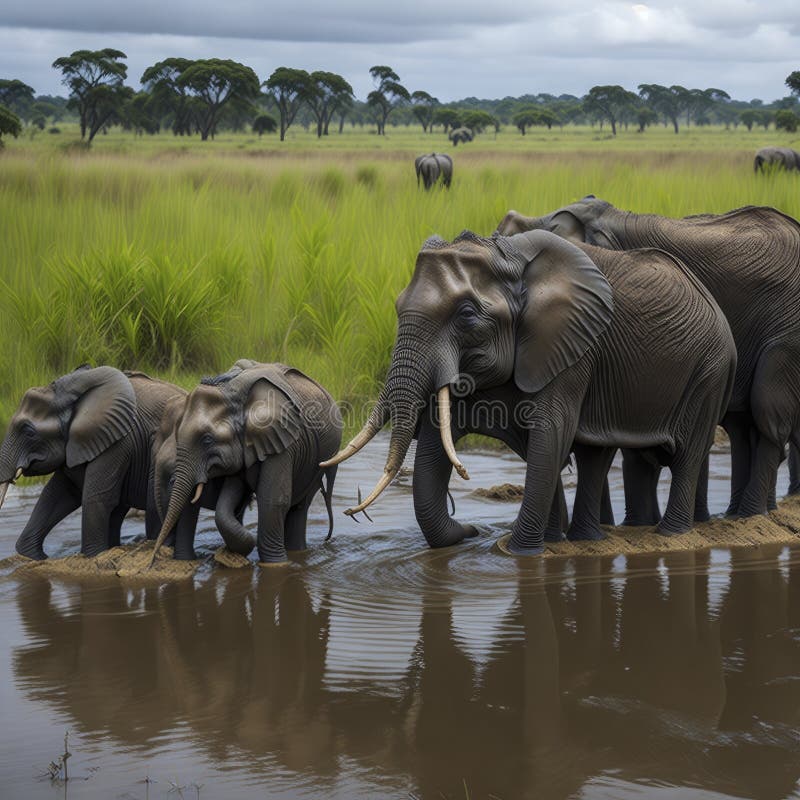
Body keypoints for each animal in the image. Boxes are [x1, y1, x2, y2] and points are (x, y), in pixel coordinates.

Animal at [0, 366, 183, 559]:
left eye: (28, 432)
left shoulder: (118, 441)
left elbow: (96, 498)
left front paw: (93, 555)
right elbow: (57, 493)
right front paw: (34, 557)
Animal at [151, 361, 342, 565]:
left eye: (207, 440)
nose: (153, 560)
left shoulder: (281, 440)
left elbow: (273, 501)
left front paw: (275, 565)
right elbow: (233, 493)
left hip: (322, 458)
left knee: (300, 505)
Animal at [323, 229, 736, 554]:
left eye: (467, 315)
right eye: (397, 307)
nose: (471, 529)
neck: (506, 258)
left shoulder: (573, 346)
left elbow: (550, 435)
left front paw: (516, 553)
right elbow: (464, 437)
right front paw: (543, 542)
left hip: (711, 369)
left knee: (688, 453)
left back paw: (670, 536)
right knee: (595, 453)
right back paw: (587, 540)